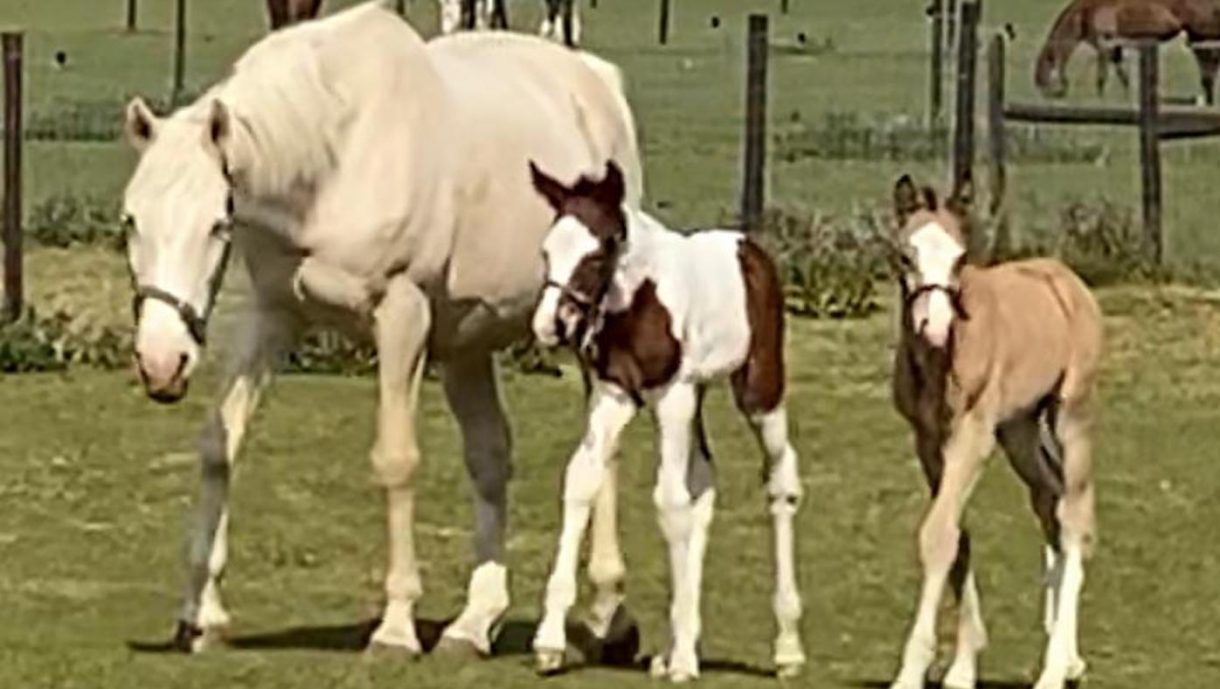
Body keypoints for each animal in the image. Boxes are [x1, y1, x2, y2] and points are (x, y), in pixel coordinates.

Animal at [119, 2, 642, 657]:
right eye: (131, 221)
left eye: (217, 224)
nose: (161, 362)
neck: (336, 159)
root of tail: (597, 83)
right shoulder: (273, 314)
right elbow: (221, 443)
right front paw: (201, 615)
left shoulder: (401, 317)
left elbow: (396, 460)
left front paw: (395, 626)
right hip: (468, 342)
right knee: (490, 456)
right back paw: (475, 622)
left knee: (605, 452)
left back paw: (609, 613)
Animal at [526, 161, 806, 681]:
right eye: (547, 250)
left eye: (598, 252)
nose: (549, 326)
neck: (638, 301)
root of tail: (749, 246)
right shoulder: (615, 395)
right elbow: (583, 480)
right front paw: (549, 643)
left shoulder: (671, 396)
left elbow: (670, 503)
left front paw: (683, 661)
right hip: (697, 393)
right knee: (704, 481)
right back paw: (682, 642)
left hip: (758, 389)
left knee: (780, 480)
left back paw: (787, 647)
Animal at [885, 175, 1104, 689]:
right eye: (905, 255)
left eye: (960, 257)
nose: (935, 326)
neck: (940, 361)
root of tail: (1067, 281)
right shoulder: (929, 441)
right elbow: (955, 537)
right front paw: (963, 667)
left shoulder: (974, 435)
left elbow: (938, 535)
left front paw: (911, 671)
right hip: (1019, 431)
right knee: (1050, 505)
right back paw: (1070, 659)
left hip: (1070, 416)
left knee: (1075, 520)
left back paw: (1054, 670)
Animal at [1034, 0, 1220, 103]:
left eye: (1043, 76)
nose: (1047, 97)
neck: (1086, 12)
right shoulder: (1115, 50)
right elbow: (1123, 76)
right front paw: (1127, 99)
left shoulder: (1105, 46)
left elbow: (1101, 77)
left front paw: (1100, 100)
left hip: (1202, 36)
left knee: (1210, 65)